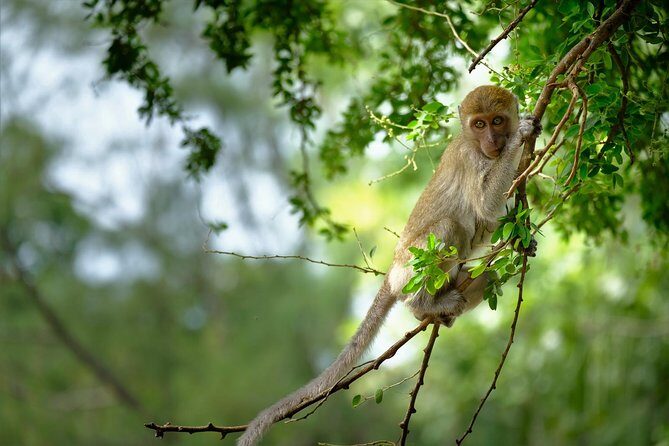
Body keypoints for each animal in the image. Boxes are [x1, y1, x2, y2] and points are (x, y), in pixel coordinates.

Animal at [237, 85, 541, 446]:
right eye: (479, 124)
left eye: (497, 120)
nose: (494, 140)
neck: (479, 148)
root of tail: (393, 272)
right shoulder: (470, 158)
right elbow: (484, 205)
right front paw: (520, 136)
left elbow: (490, 219)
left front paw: (521, 239)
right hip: (411, 268)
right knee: (449, 227)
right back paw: (422, 306)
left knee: (488, 271)